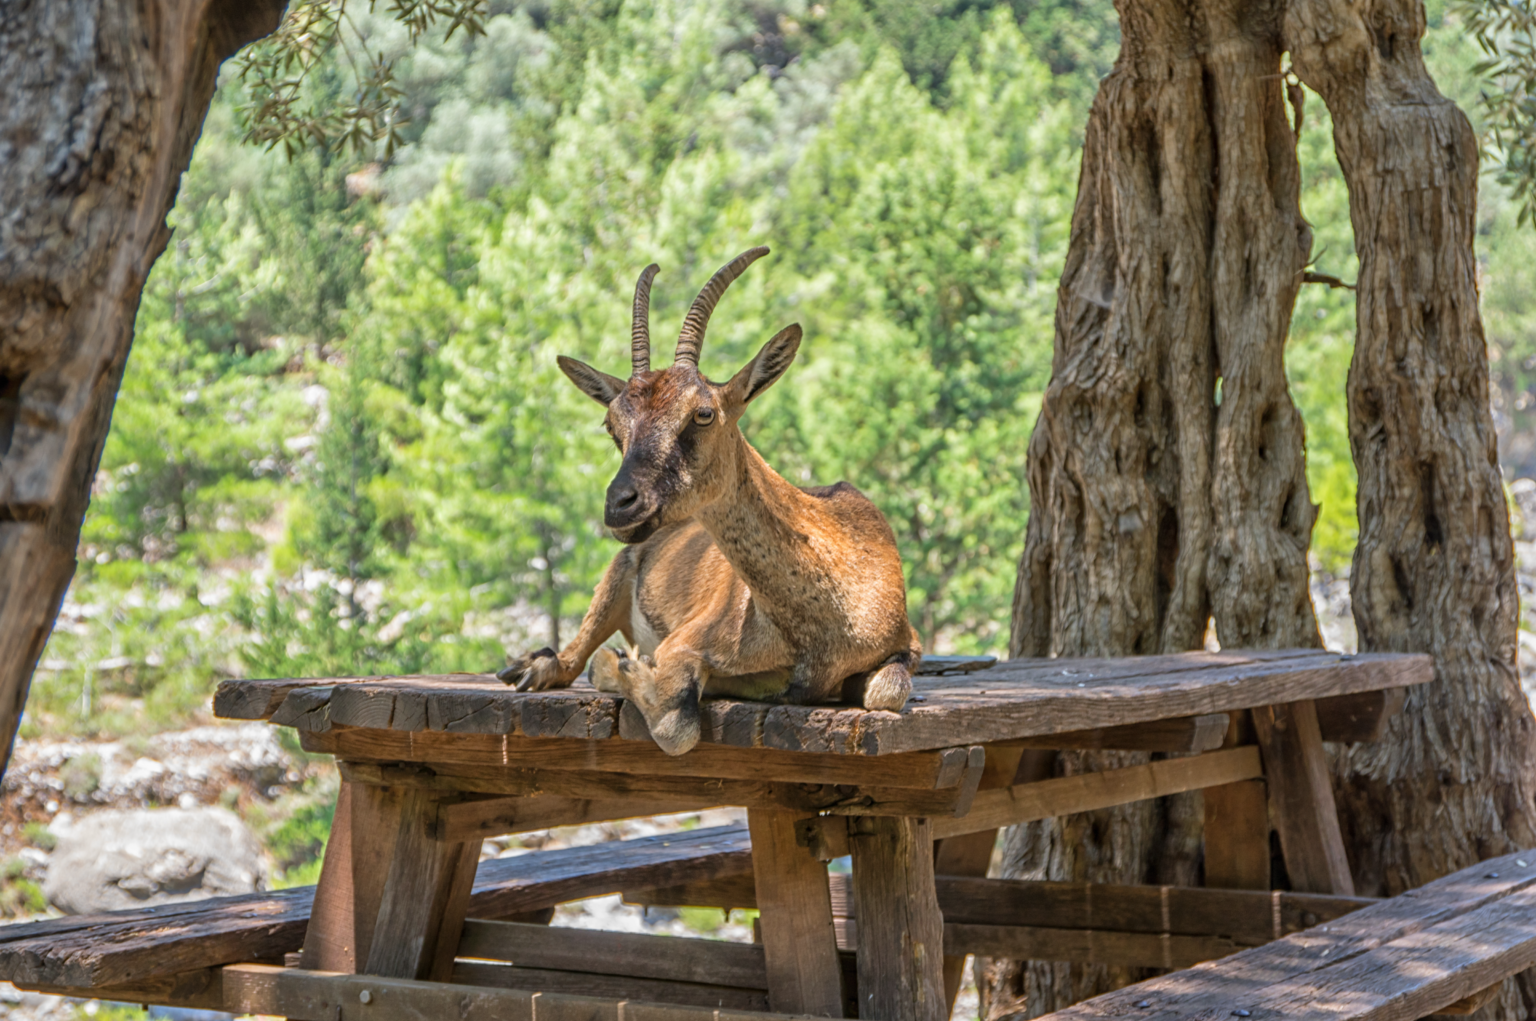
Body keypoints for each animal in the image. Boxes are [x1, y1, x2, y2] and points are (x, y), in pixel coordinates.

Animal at [497, 247, 921, 755]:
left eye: (702, 413)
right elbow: (676, 723)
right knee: (571, 657)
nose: (621, 503)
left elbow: (887, 691)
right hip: (619, 573)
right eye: (612, 425)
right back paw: (534, 666)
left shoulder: (905, 645)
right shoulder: (685, 642)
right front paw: (621, 666)